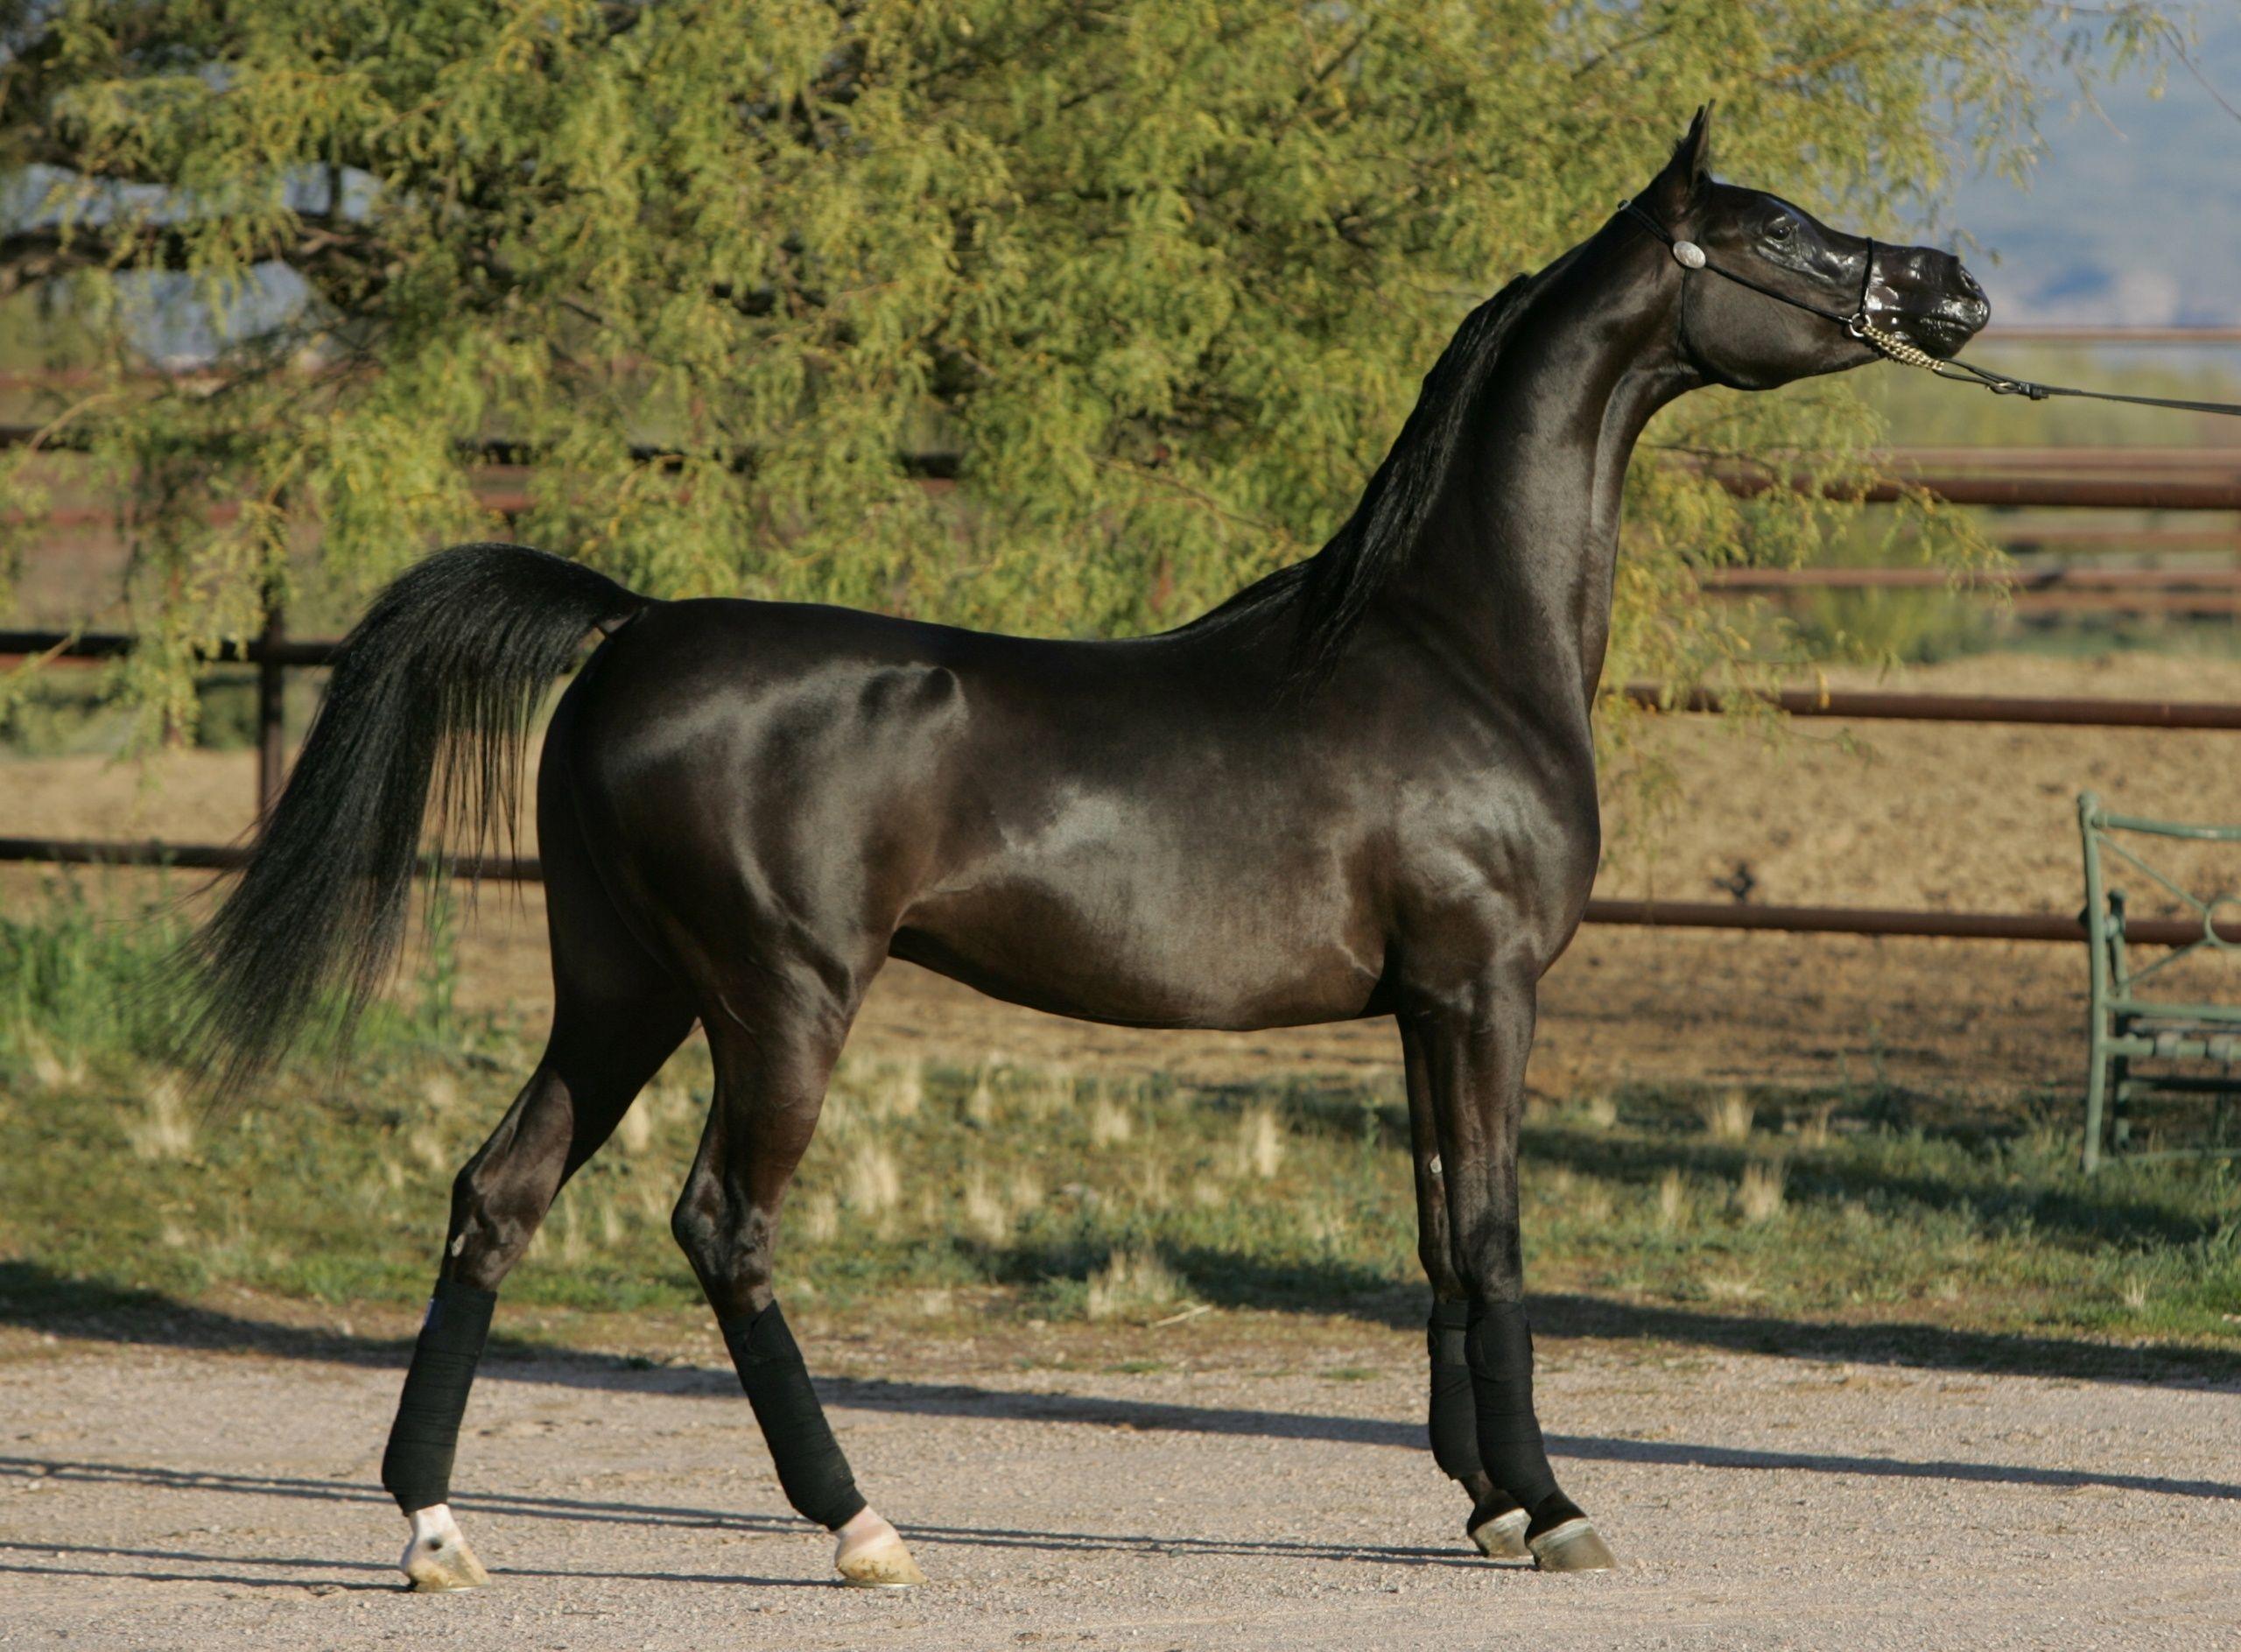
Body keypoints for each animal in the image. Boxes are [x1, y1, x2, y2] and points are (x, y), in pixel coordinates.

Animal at [184, 105, 1988, 1592]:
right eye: (1778, 232)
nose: (1952, 285)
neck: (1454, 643)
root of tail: (634, 628)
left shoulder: (1422, 1007)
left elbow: (1434, 1237)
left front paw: (1481, 1498)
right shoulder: (1487, 992)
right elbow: (1494, 1236)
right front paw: (1550, 1507)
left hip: (621, 988)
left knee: (499, 1195)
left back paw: (434, 1529)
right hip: (778, 1000)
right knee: (721, 1225)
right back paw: (860, 1525)